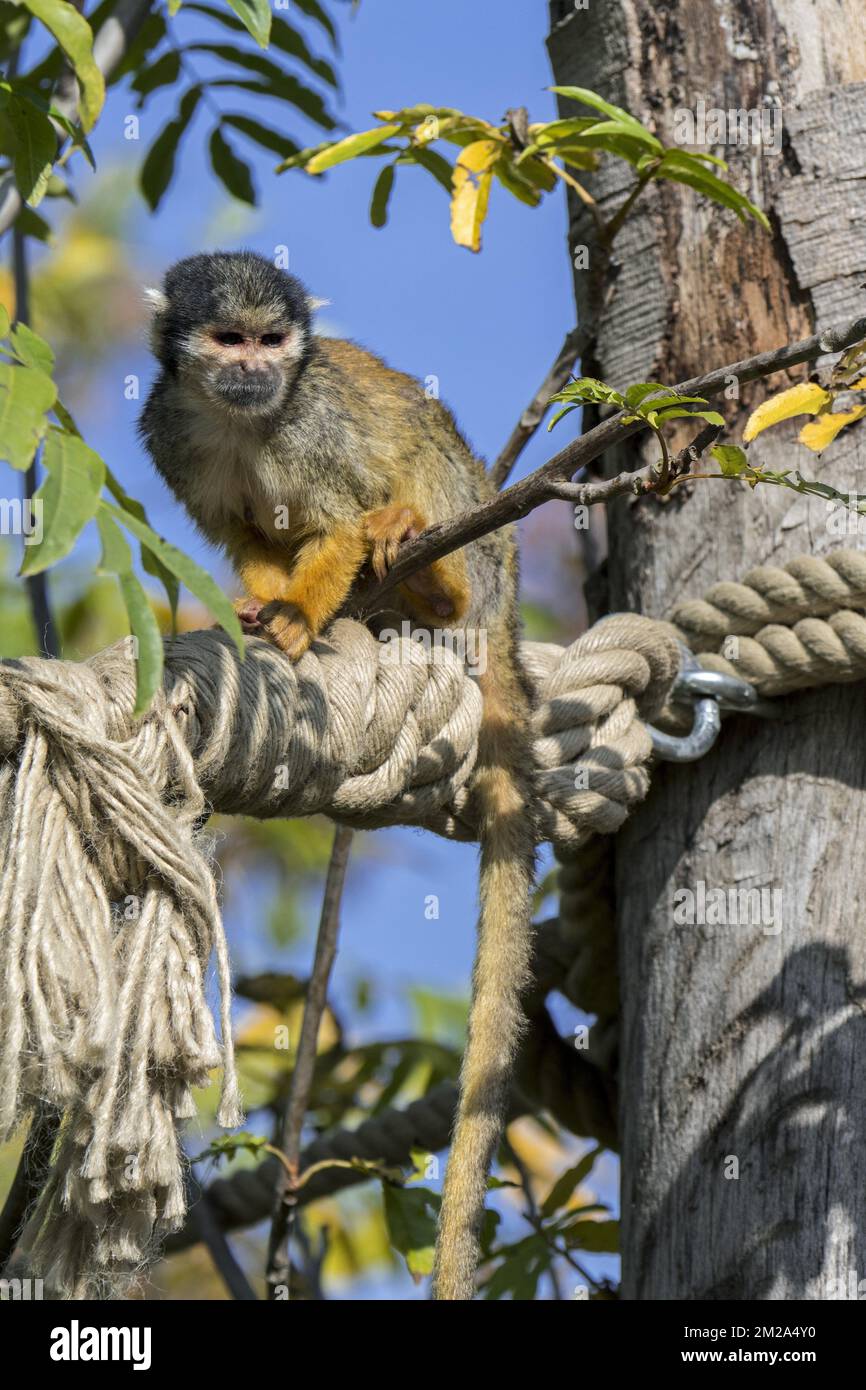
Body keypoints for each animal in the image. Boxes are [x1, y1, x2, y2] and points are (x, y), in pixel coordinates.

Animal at [138, 250, 538, 1300]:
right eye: (228, 341)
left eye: (272, 342)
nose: (255, 369)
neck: (242, 418)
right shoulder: (168, 432)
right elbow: (247, 534)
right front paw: (263, 604)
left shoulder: (308, 424)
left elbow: (339, 523)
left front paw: (296, 616)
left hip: (487, 543)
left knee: (409, 483)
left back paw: (427, 577)